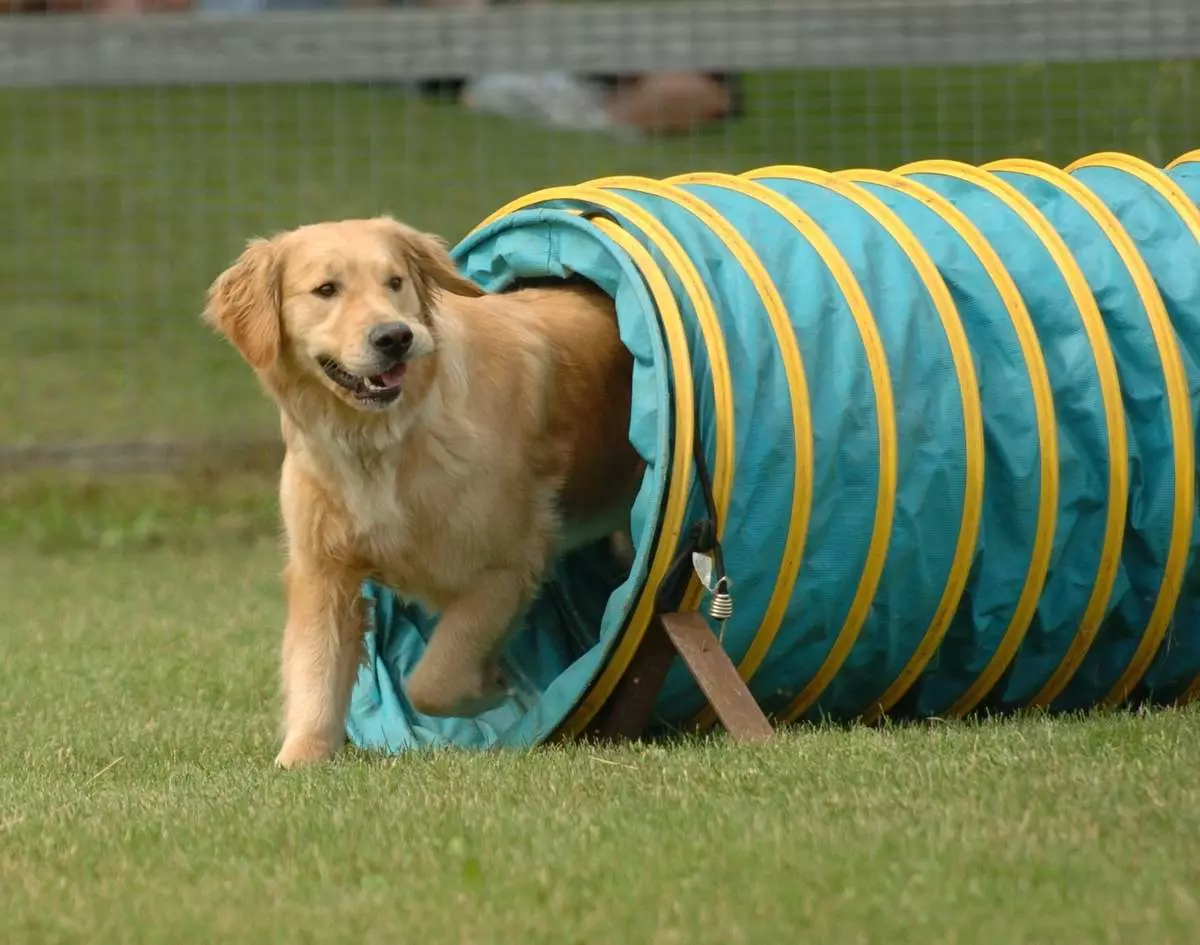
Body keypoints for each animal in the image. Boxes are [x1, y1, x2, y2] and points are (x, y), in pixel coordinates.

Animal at [201, 218, 643, 772]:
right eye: (326, 290)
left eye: (394, 282)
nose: (395, 337)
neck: (381, 442)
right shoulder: (323, 571)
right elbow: (315, 671)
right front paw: (299, 758)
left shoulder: (508, 564)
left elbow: (432, 680)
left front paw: (492, 688)